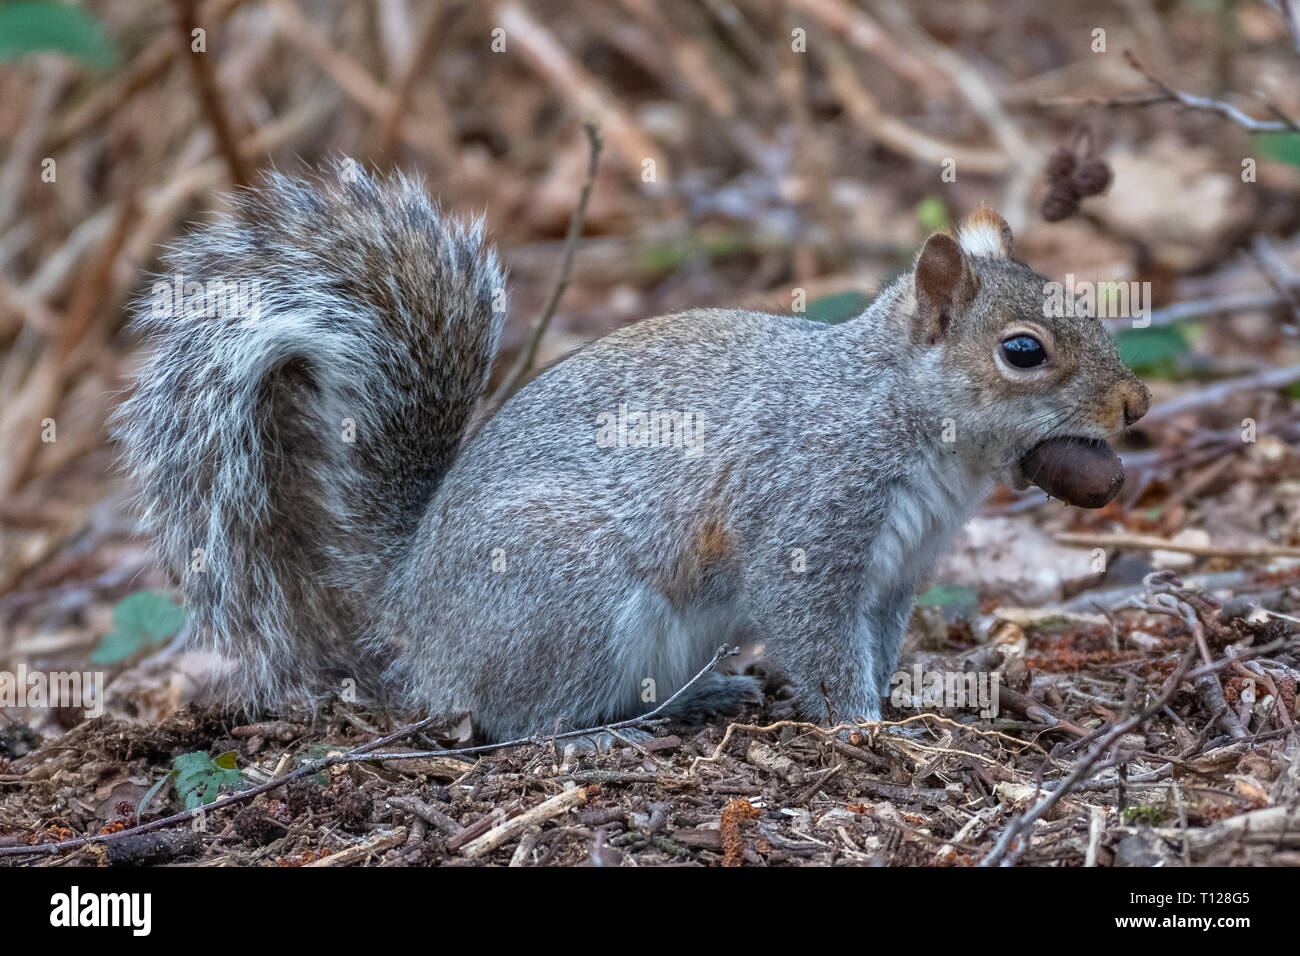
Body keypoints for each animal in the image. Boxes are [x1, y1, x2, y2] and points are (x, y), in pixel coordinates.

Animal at [115, 163, 1150, 742]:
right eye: (1023, 351)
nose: (1135, 404)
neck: (902, 415)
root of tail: (411, 604)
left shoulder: (895, 574)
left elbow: (876, 638)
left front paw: (893, 707)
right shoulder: (807, 516)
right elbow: (813, 630)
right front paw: (863, 727)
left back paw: (696, 699)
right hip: (566, 598)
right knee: (514, 721)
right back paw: (593, 740)